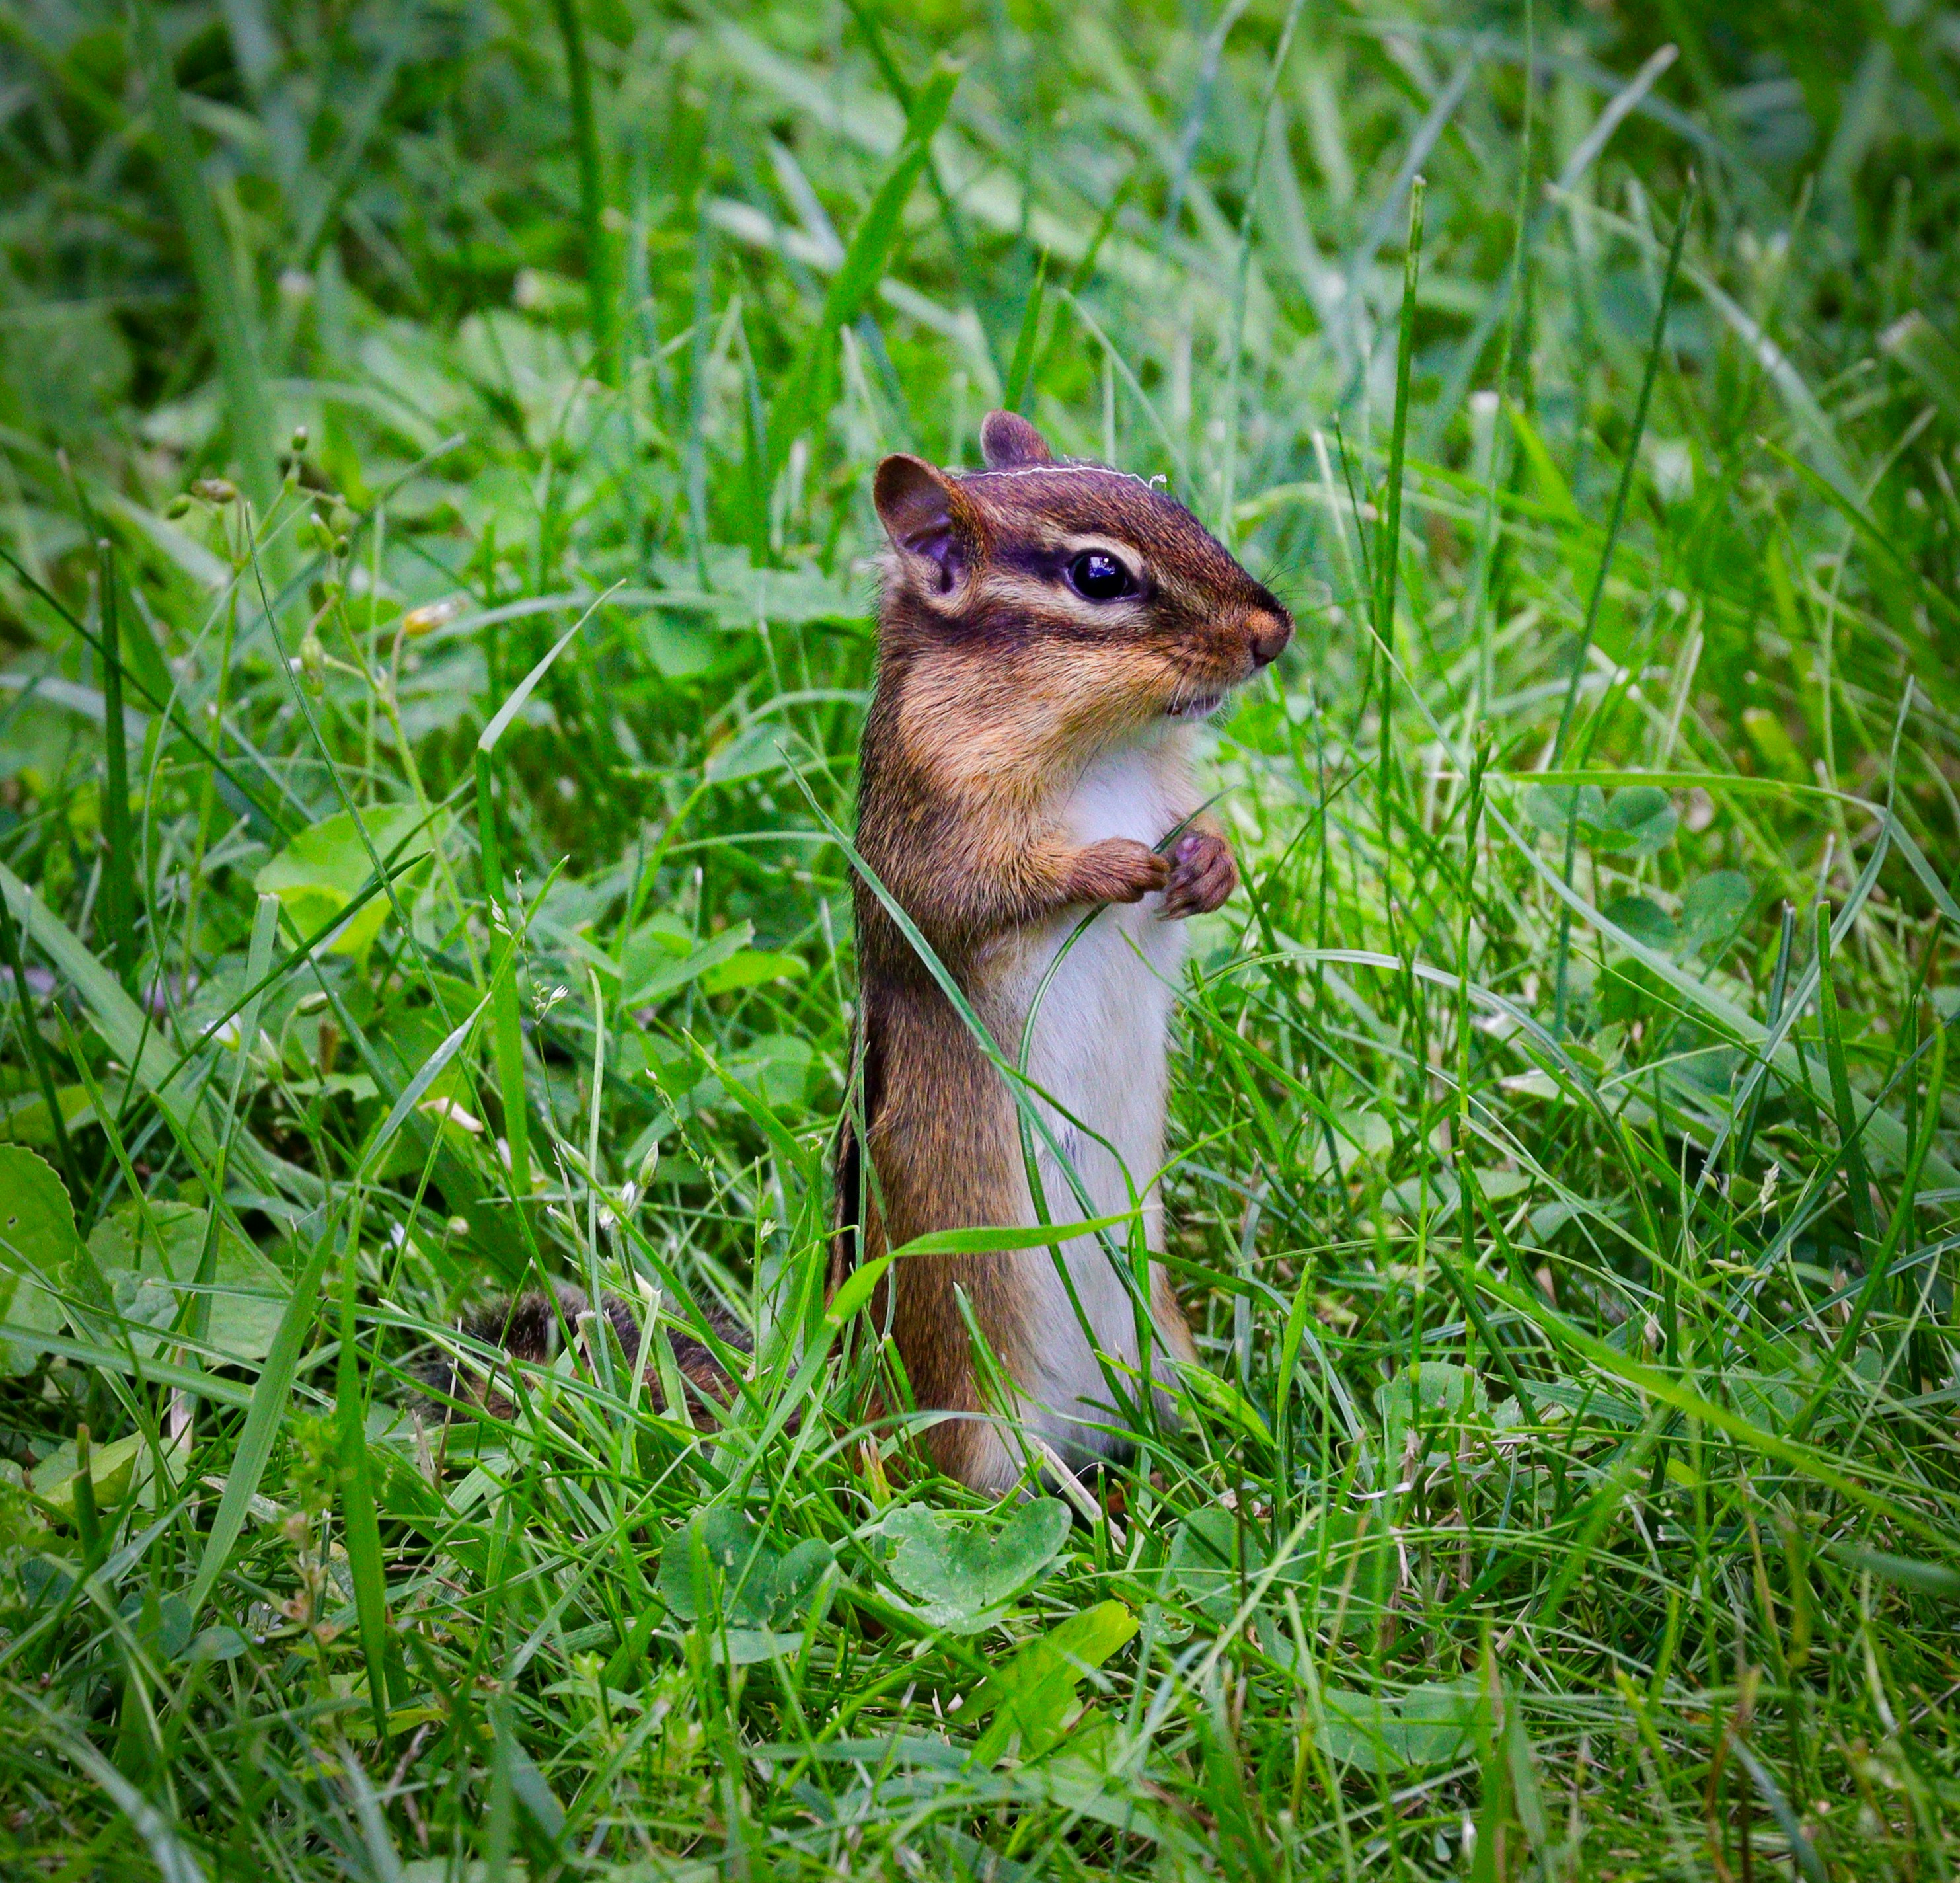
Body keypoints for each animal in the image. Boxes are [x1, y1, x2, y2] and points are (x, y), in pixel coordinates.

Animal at [431, 412, 1290, 1492]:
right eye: (1099, 575)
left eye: (1166, 495)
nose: (1273, 631)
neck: (1106, 754)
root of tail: (833, 1409)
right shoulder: (929, 834)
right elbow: (983, 893)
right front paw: (1109, 864)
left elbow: (1195, 849)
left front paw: (1206, 866)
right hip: (976, 1402)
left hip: (1161, 1344)